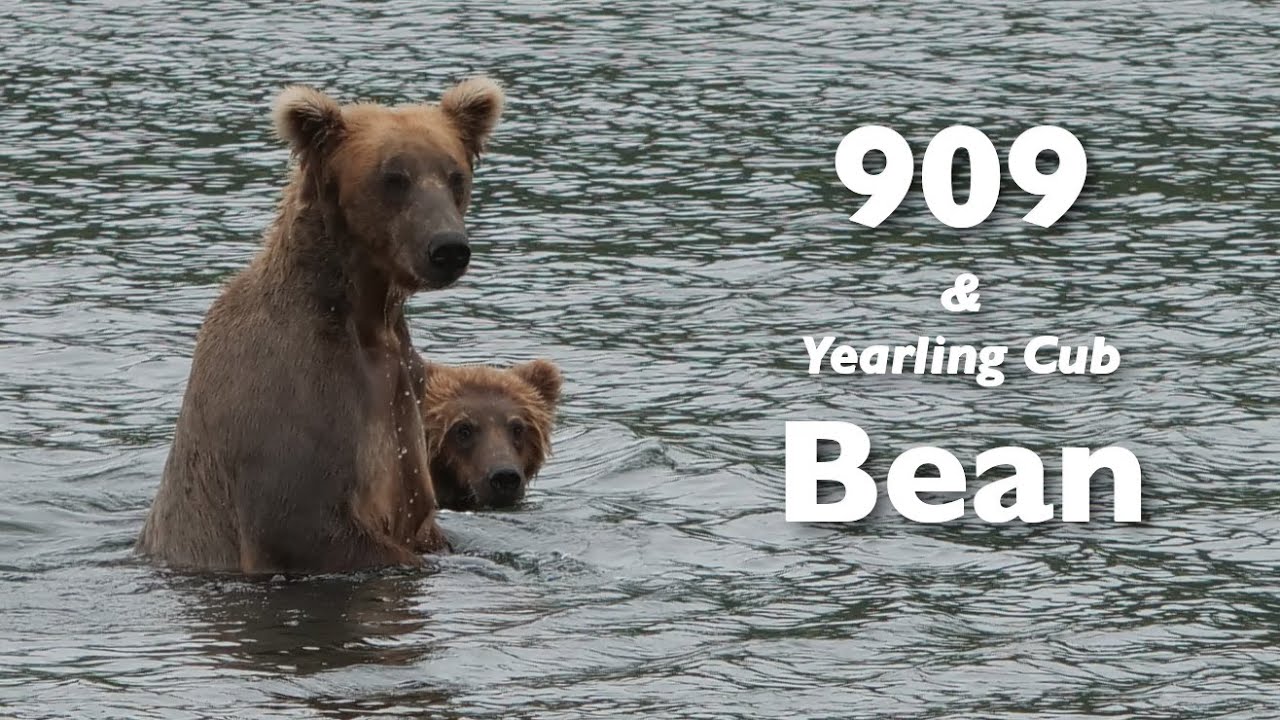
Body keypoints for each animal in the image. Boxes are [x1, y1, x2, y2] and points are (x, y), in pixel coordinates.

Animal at [135, 77, 504, 573]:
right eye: (394, 177)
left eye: (455, 175)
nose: (447, 248)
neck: (365, 315)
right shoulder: (296, 386)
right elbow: (301, 521)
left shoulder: (401, 390)